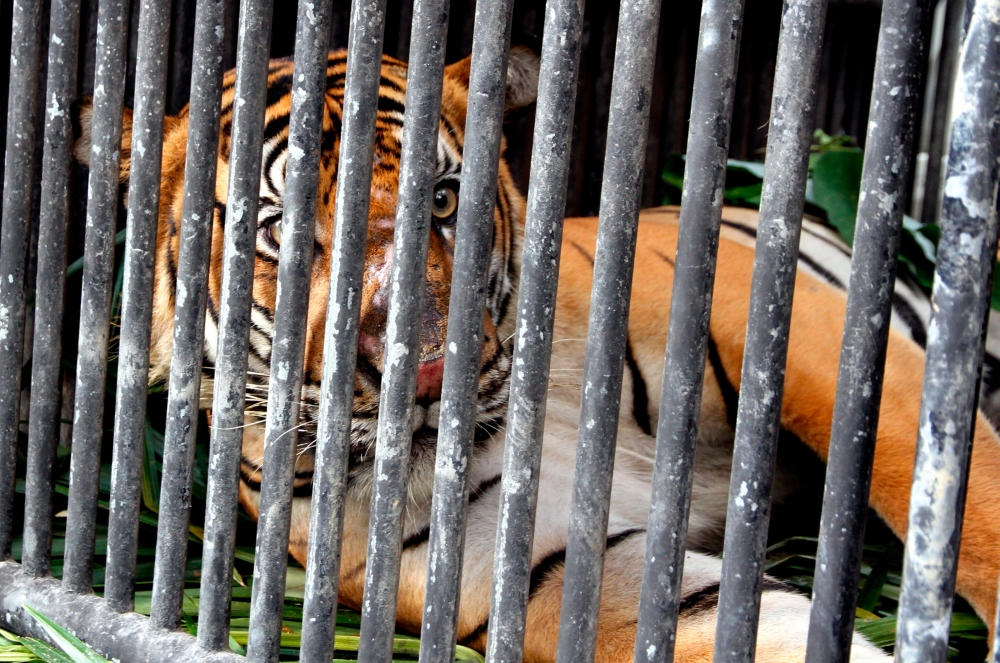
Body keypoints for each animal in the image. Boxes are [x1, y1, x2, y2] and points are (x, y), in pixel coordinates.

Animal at [72, 48, 1000, 662]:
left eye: (446, 200)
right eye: (282, 231)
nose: (428, 368)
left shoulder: (771, 315)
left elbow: (947, 481)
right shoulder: (545, 566)